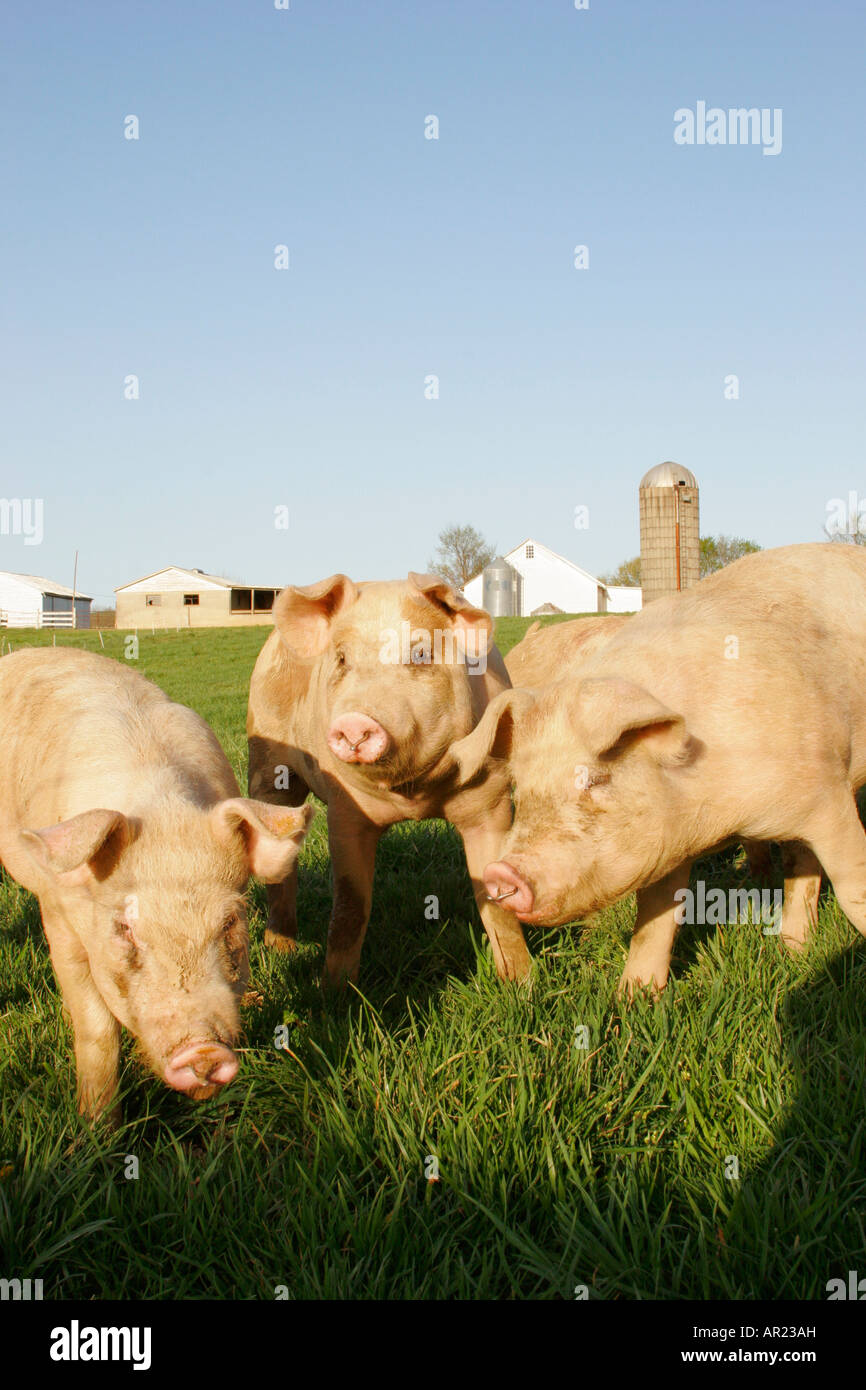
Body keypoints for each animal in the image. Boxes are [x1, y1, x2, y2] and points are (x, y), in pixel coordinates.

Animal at [0, 648, 312, 1122]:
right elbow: (95, 1028)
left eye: (229, 924)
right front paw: (97, 1128)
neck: (162, 808)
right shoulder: (58, 912)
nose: (202, 1051)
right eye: (126, 929)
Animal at [247, 572, 530, 988]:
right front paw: (334, 992)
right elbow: (350, 905)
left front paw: (522, 983)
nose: (354, 721)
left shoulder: (491, 801)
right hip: (264, 763)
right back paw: (280, 950)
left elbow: (499, 900)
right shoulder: (345, 809)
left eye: (421, 654)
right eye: (342, 659)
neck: (412, 797)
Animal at [449, 544, 866, 994]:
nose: (499, 872)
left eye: (595, 780)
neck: (717, 820)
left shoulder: (829, 796)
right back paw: (788, 941)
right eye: (520, 789)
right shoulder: (668, 840)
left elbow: (854, 888)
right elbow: (654, 921)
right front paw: (631, 998)